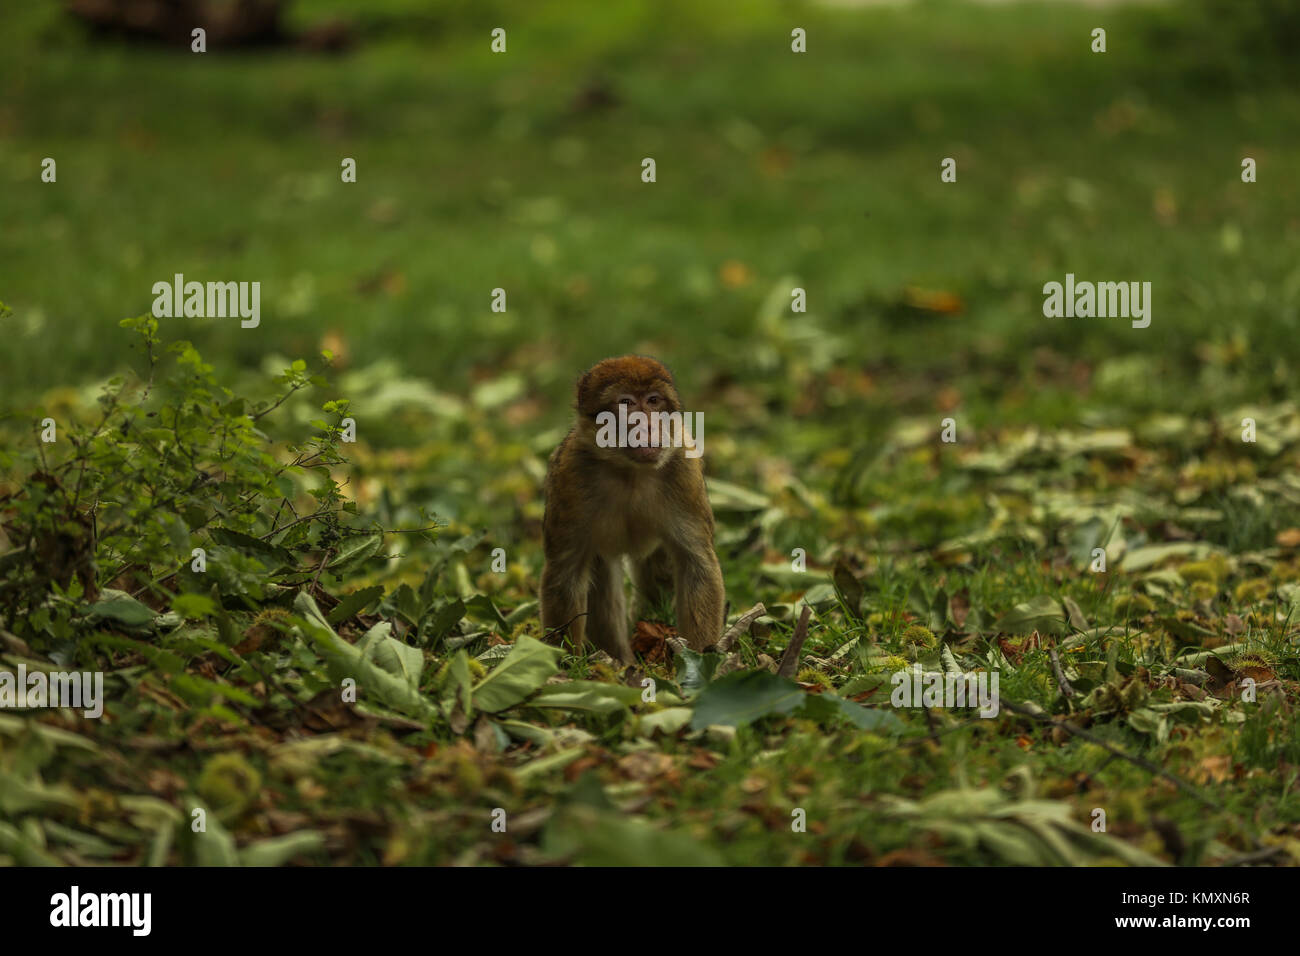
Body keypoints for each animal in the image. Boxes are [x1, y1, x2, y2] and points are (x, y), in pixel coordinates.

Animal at [540, 355, 725, 662]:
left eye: (653, 400)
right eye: (626, 403)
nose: (648, 425)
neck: (630, 472)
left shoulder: (682, 468)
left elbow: (696, 564)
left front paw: (701, 660)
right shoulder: (571, 474)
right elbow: (565, 572)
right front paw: (567, 664)